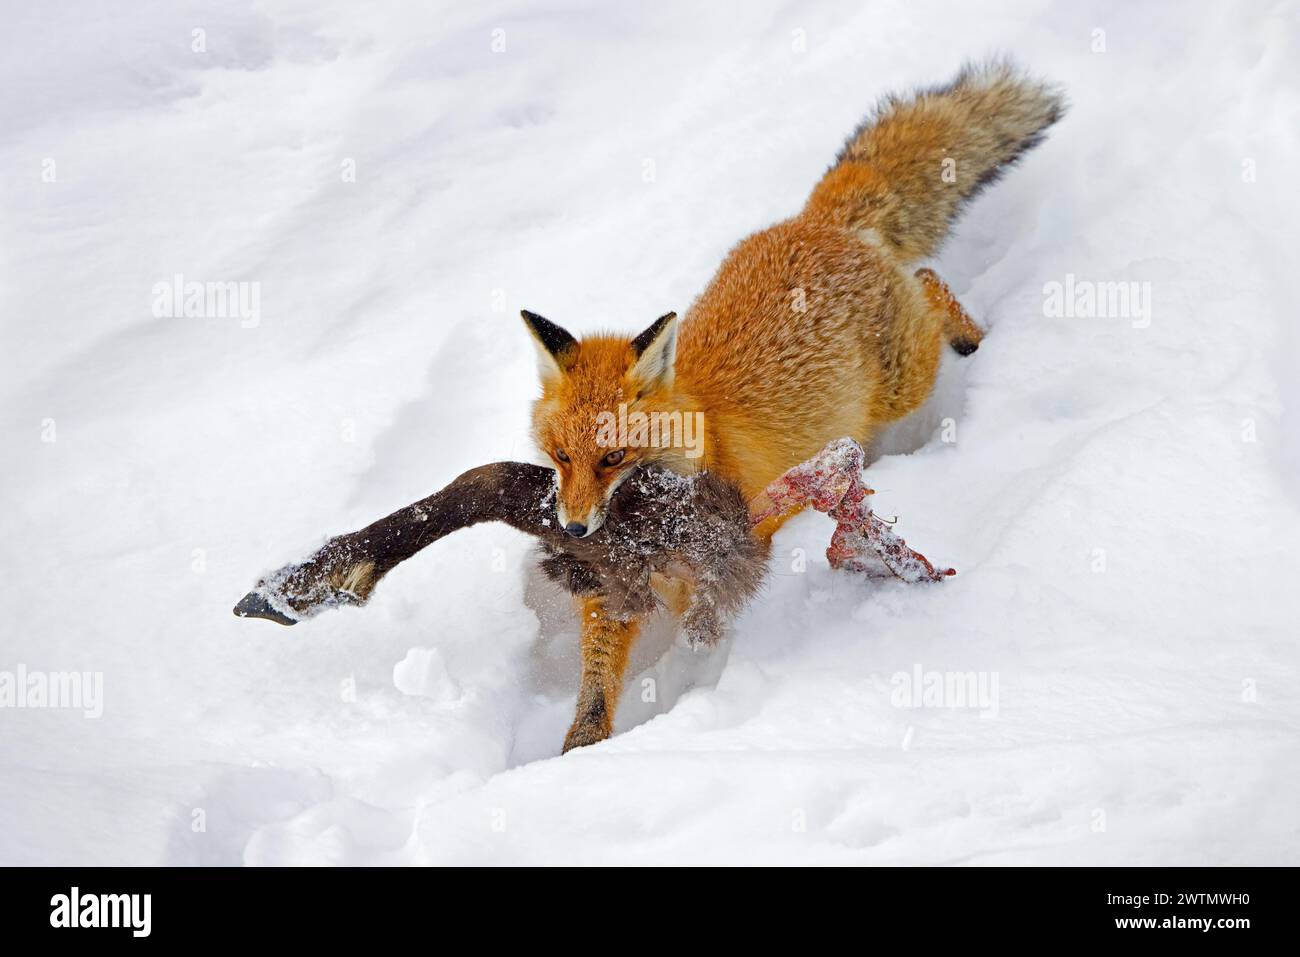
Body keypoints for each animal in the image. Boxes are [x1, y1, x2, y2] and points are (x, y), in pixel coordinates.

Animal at [522, 60, 1064, 751]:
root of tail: (818, 223)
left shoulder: (736, 552)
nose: (572, 529)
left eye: (614, 457)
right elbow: (595, 685)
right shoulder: (613, 587)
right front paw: (580, 750)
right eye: (561, 457)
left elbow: (709, 624)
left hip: (905, 380)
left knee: (928, 283)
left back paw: (973, 337)